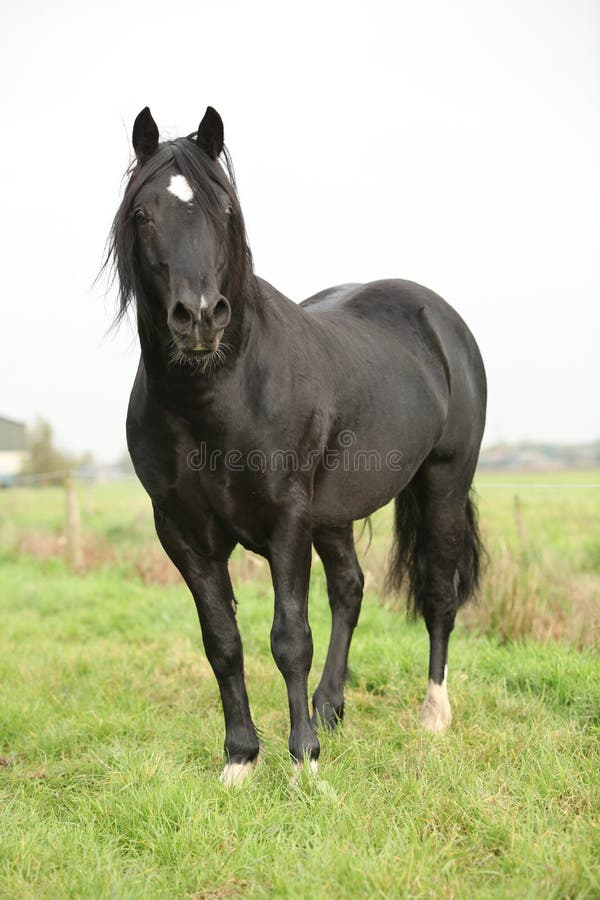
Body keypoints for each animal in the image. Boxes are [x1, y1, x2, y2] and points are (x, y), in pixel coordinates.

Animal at [106, 105, 487, 785]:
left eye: (225, 209)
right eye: (143, 213)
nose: (199, 318)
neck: (215, 399)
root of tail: (439, 318)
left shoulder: (286, 521)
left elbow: (289, 638)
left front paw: (304, 760)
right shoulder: (183, 535)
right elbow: (223, 643)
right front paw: (240, 759)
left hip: (444, 481)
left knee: (439, 593)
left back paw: (434, 715)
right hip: (333, 513)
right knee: (351, 589)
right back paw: (330, 706)